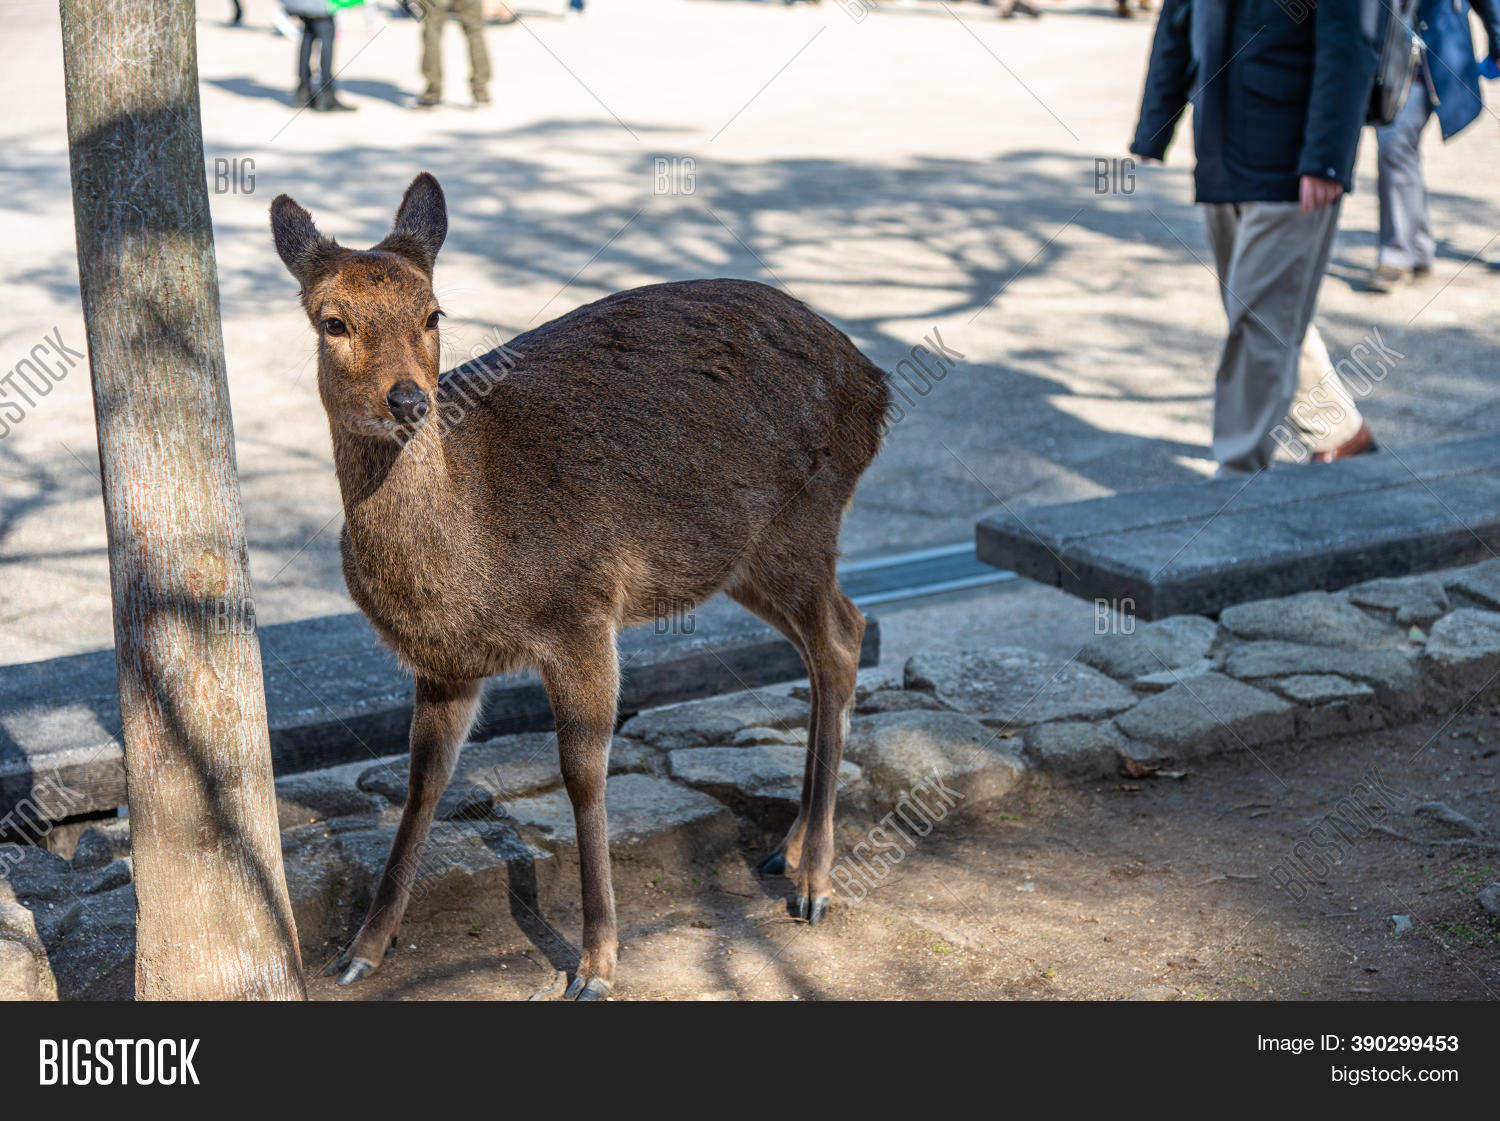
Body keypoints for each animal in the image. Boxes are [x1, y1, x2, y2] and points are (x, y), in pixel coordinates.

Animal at [270, 174, 889, 999]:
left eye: (433, 312)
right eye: (331, 320)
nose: (408, 400)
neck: (467, 556)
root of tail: (876, 384)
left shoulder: (581, 614)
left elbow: (584, 775)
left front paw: (596, 963)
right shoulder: (443, 663)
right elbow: (424, 779)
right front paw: (361, 949)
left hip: (802, 523)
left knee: (842, 640)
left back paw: (815, 881)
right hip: (741, 559)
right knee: (840, 633)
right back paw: (786, 849)